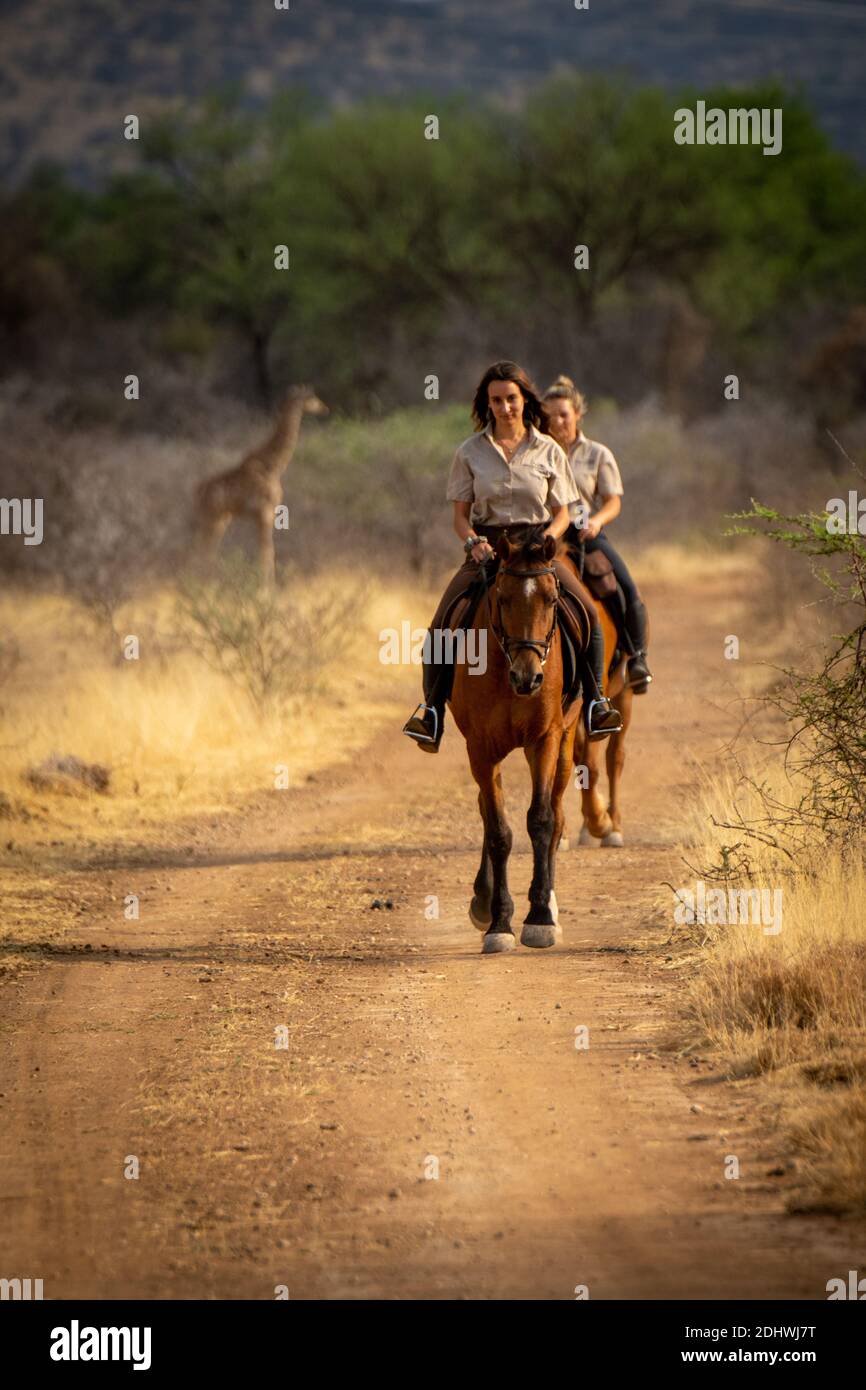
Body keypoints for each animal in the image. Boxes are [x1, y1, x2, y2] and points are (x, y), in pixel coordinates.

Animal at [195, 383, 328, 583]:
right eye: (311, 397)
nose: (324, 408)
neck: (273, 465)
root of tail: (198, 492)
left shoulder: (260, 516)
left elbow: (264, 553)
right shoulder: (266, 512)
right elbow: (267, 553)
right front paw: (266, 588)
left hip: (220, 519)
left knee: (204, 550)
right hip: (213, 519)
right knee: (203, 551)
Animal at [450, 525, 625, 950]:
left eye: (551, 598)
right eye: (502, 596)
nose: (528, 677)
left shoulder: (545, 739)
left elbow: (542, 821)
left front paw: (540, 918)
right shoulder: (480, 749)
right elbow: (497, 829)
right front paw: (498, 922)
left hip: (566, 738)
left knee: (563, 807)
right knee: (488, 811)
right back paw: (484, 901)